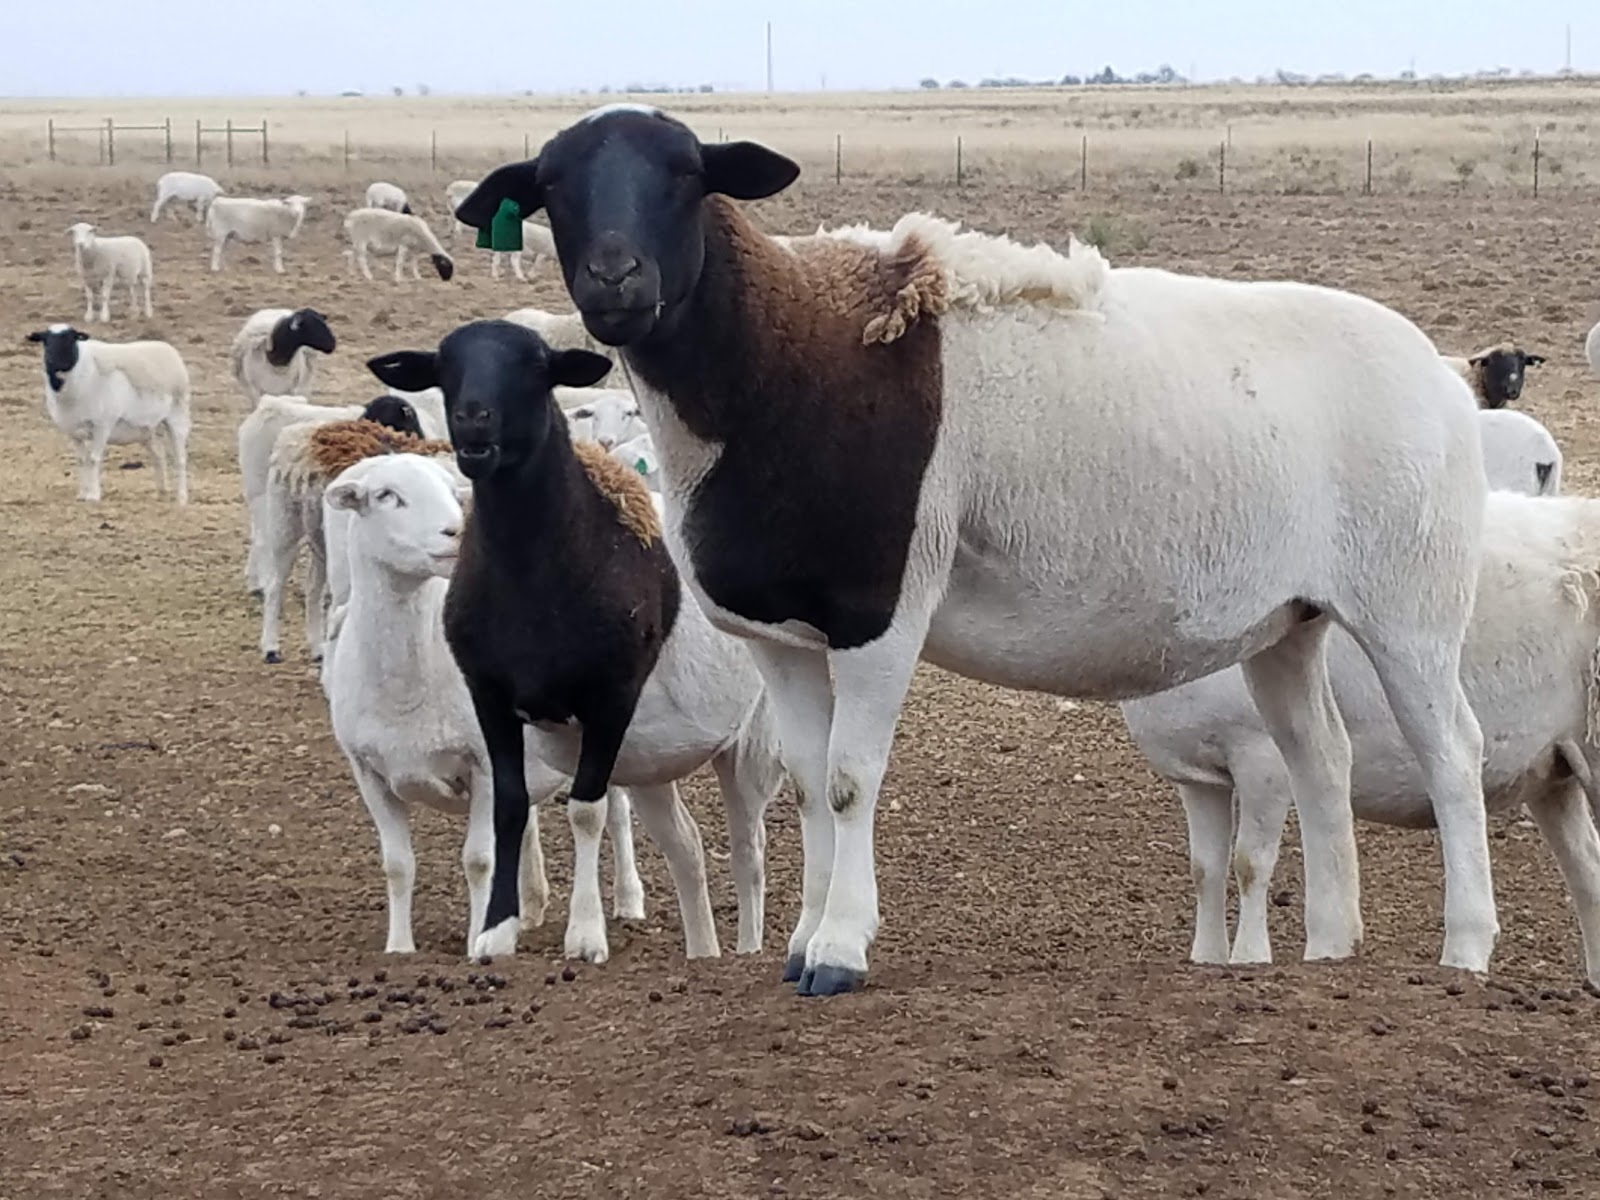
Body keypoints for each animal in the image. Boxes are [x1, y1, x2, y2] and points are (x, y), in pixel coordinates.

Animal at [25, 324, 190, 505]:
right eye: (45, 340)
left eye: (70, 339)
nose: (52, 362)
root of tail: (168, 348)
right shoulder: (74, 431)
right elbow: (81, 460)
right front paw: (82, 494)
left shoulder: (102, 425)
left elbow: (93, 459)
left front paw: (93, 495)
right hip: (146, 429)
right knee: (159, 455)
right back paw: (162, 491)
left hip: (178, 415)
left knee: (180, 459)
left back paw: (182, 498)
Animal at [321, 452, 647, 955]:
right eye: (385, 495)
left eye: (451, 491)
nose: (455, 532)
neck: (407, 685)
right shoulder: (368, 772)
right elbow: (397, 865)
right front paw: (399, 948)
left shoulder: (482, 767)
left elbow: (478, 860)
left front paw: (479, 938)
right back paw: (529, 909)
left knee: (614, 815)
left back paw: (626, 902)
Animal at [367, 319, 783, 962]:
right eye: (443, 366)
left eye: (536, 366)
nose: (472, 419)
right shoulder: (489, 697)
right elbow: (511, 807)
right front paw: (496, 931)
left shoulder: (609, 697)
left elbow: (587, 811)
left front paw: (585, 935)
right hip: (655, 759)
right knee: (687, 848)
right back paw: (702, 951)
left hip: (753, 744)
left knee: (751, 850)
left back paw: (751, 949)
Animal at [456, 105, 1501, 996]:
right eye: (550, 186)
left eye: (685, 172)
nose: (615, 280)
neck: (776, 357)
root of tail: (1442, 372)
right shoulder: (783, 635)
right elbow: (808, 787)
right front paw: (799, 944)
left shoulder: (880, 609)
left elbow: (849, 780)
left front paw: (839, 953)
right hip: (1292, 617)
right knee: (1321, 757)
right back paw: (1331, 949)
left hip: (1412, 600)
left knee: (1452, 752)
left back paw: (1467, 949)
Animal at [1120, 489, 1600, 985]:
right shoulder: (1199, 779)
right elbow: (1205, 871)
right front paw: (1207, 957)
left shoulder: (1260, 758)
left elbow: (1249, 863)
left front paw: (1250, 957)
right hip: (1554, 768)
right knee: (1587, 867)